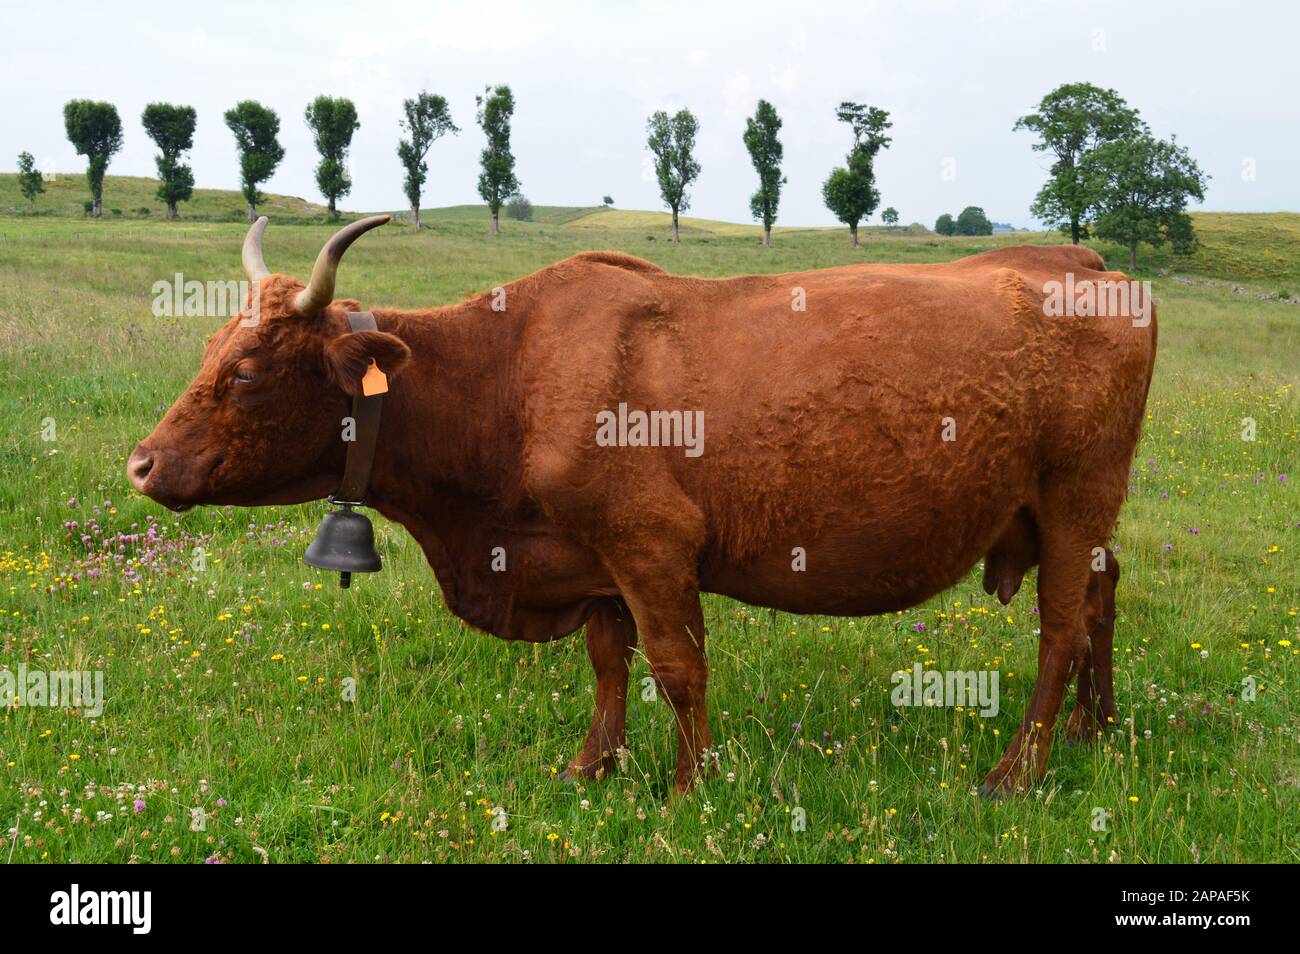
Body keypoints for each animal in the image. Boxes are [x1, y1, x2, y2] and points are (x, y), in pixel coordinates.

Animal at [128, 216, 1156, 795]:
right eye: (210, 350)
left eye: (247, 372)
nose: (141, 464)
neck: (509, 374)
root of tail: (1085, 262)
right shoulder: (591, 559)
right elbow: (608, 661)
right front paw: (595, 766)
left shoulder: (652, 545)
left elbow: (676, 668)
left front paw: (689, 790)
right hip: (1072, 516)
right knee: (1105, 593)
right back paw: (1094, 729)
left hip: (1075, 498)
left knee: (1061, 625)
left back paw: (1018, 771)